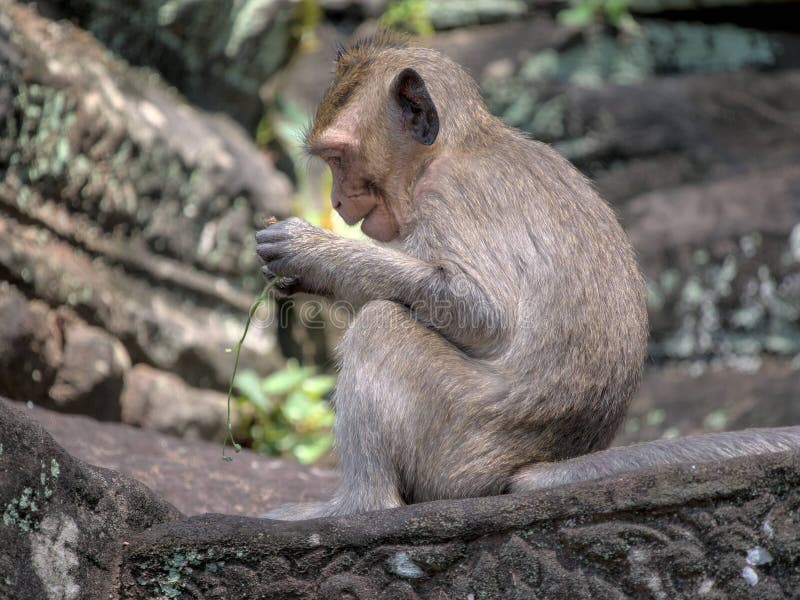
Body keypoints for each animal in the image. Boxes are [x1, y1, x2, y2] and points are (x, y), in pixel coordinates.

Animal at [255, 33, 800, 519]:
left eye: (338, 158)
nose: (335, 201)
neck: (450, 149)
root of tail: (529, 463)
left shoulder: (452, 196)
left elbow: (480, 312)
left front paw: (309, 253)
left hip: (459, 440)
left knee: (381, 325)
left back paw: (356, 507)